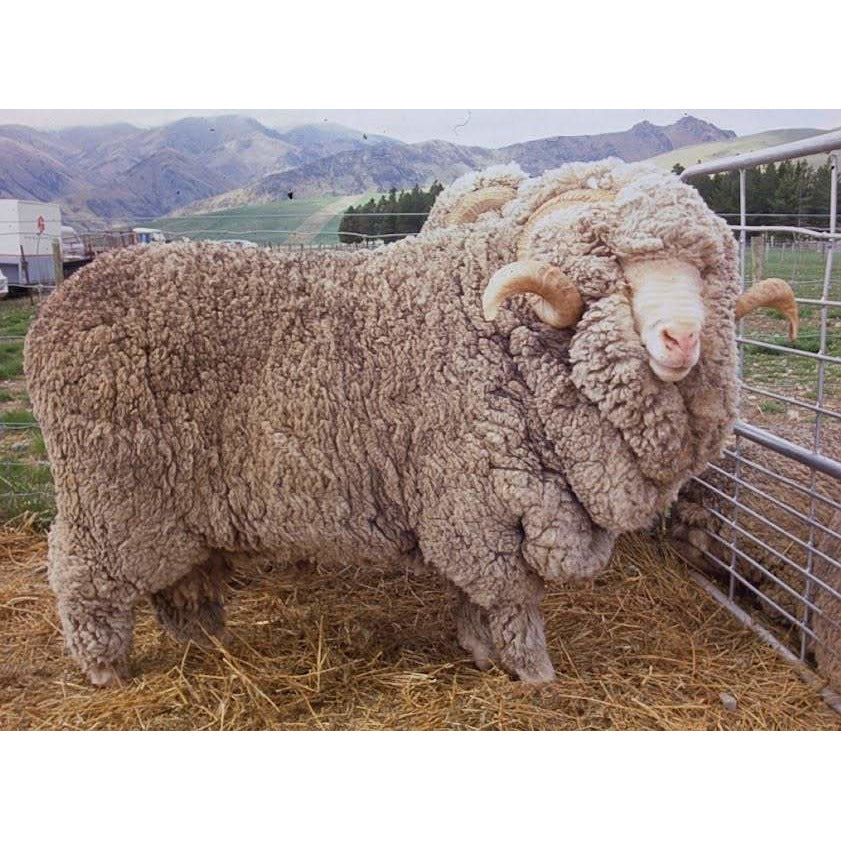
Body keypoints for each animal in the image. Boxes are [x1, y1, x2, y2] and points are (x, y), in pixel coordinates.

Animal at [24, 159, 799, 686]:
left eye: (706, 270)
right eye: (610, 268)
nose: (681, 340)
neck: (499, 330)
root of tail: (55, 309)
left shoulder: (475, 512)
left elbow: (476, 600)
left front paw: (478, 649)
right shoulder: (476, 503)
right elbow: (514, 603)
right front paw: (534, 675)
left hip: (171, 506)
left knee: (178, 580)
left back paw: (201, 638)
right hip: (110, 495)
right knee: (82, 578)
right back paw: (105, 669)